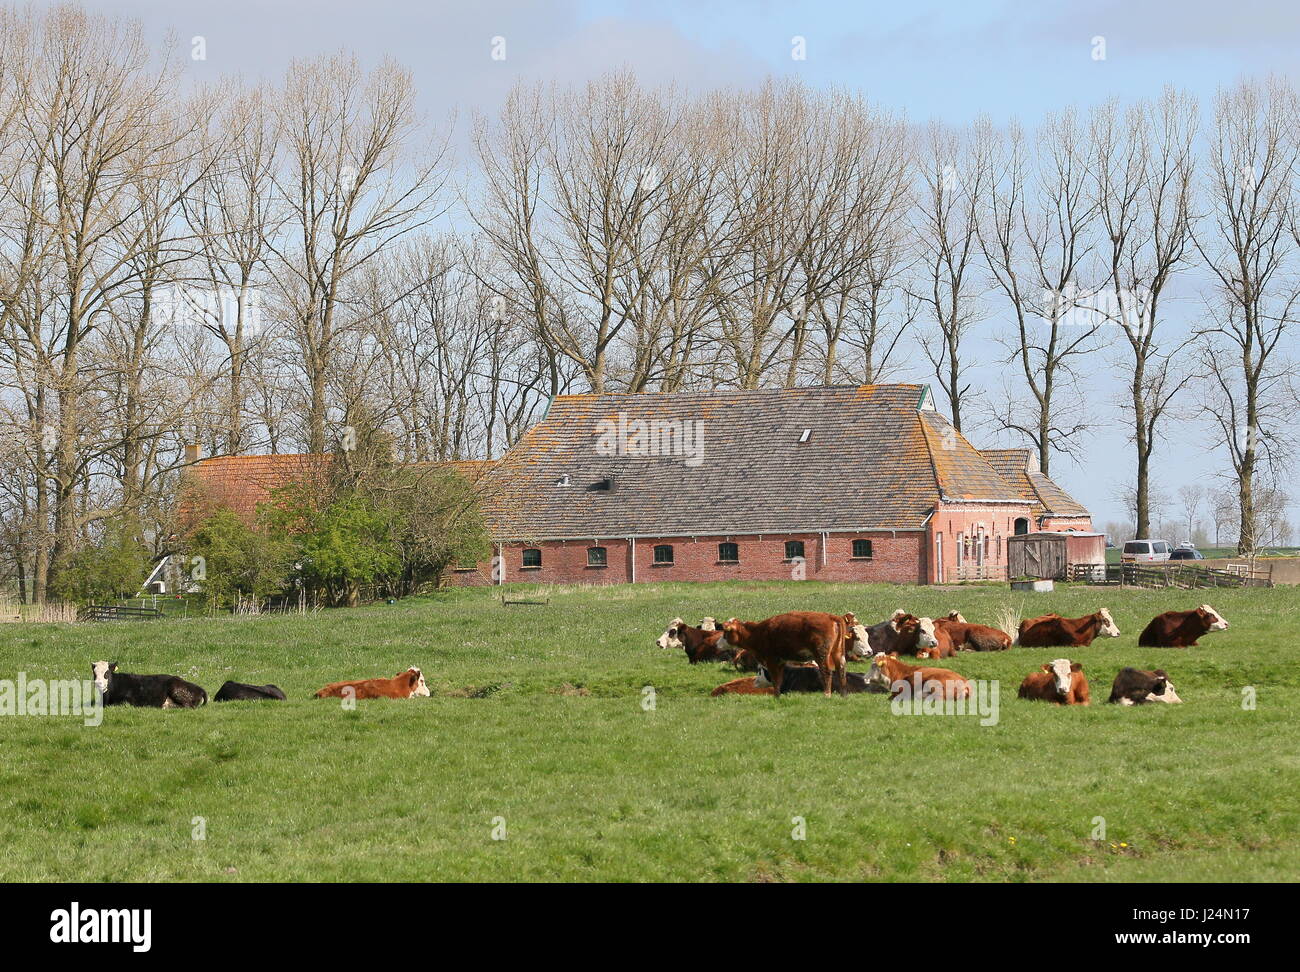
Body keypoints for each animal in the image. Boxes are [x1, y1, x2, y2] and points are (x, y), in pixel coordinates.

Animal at [719, 611, 850, 696]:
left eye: (725, 632)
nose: (718, 644)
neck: (757, 633)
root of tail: (830, 617)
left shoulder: (771, 660)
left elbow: (775, 680)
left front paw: (776, 696)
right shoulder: (781, 661)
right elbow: (779, 679)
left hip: (821, 654)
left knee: (827, 672)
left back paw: (827, 694)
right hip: (838, 653)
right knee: (841, 670)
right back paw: (843, 694)